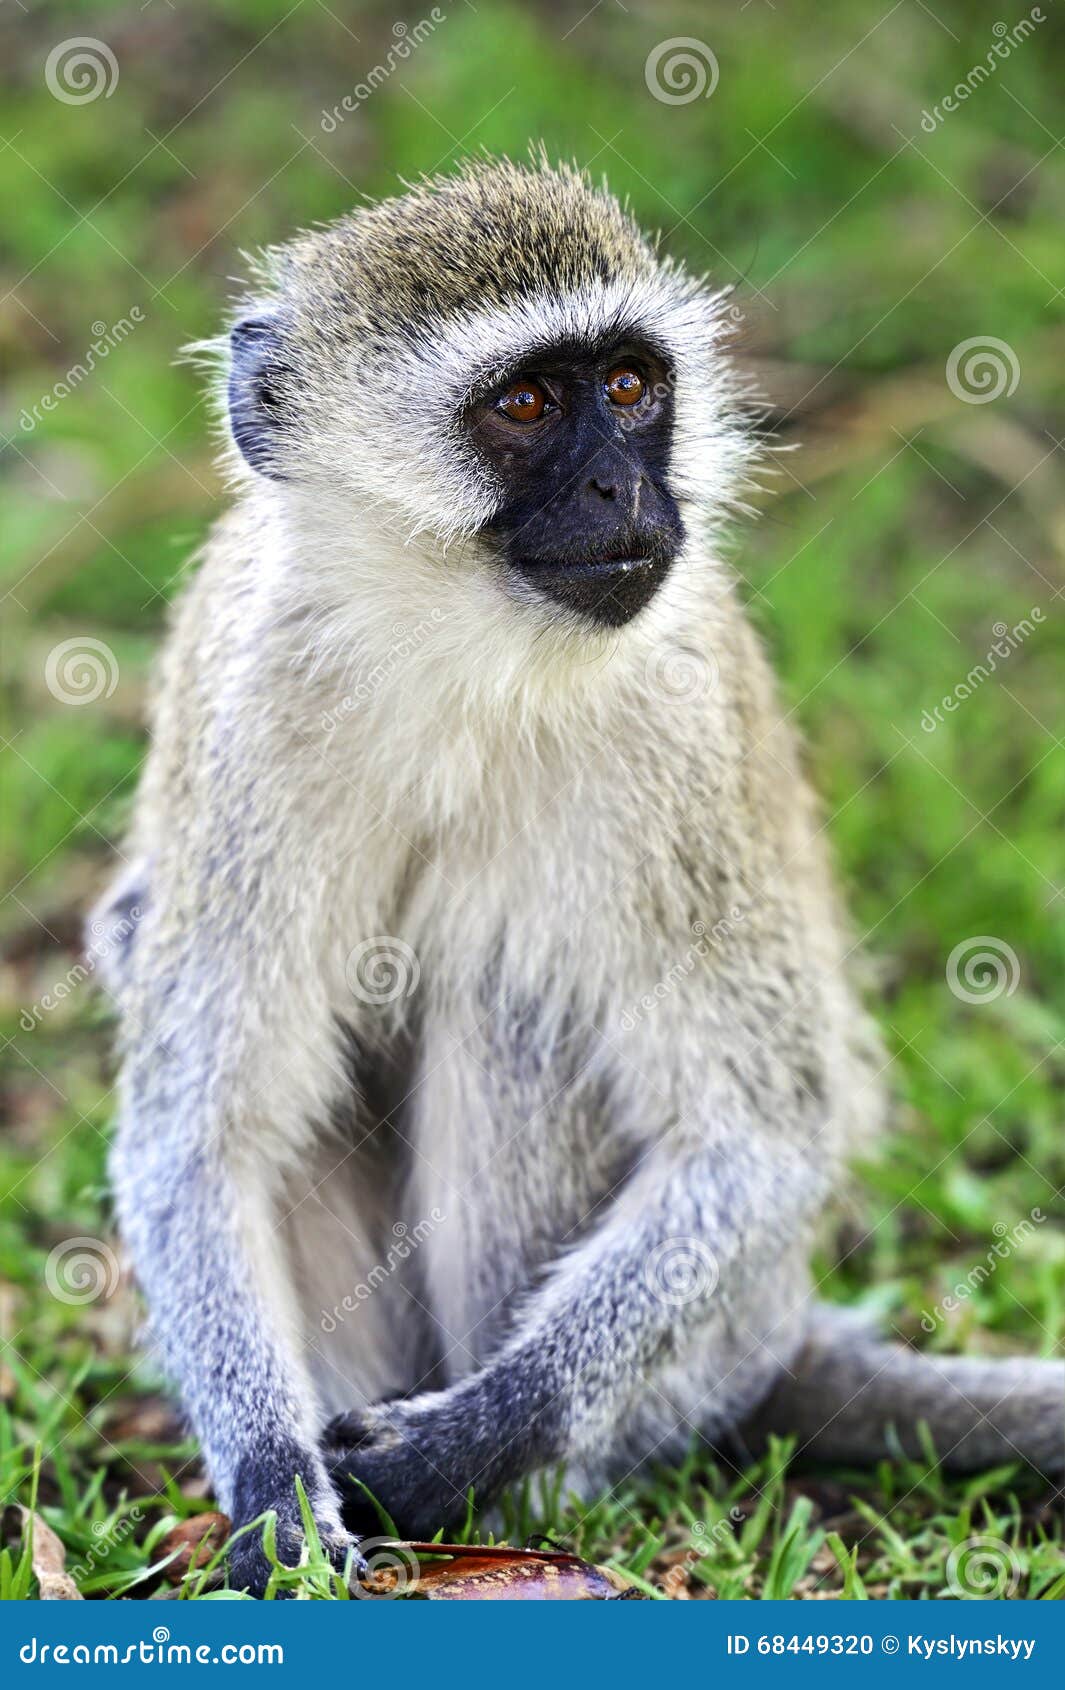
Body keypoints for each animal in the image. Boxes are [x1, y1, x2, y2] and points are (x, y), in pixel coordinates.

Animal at [92, 157, 1063, 1597]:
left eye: (628, 387)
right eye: (527, 405)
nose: (622, 493)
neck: (457, 652)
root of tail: (779, 1328)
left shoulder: (679, 720)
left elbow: (757, 1136)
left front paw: (468, 1439)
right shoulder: (249, 700)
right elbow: (201, 1137)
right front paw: (274, 1495)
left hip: (699, 1359)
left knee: (510, 994)